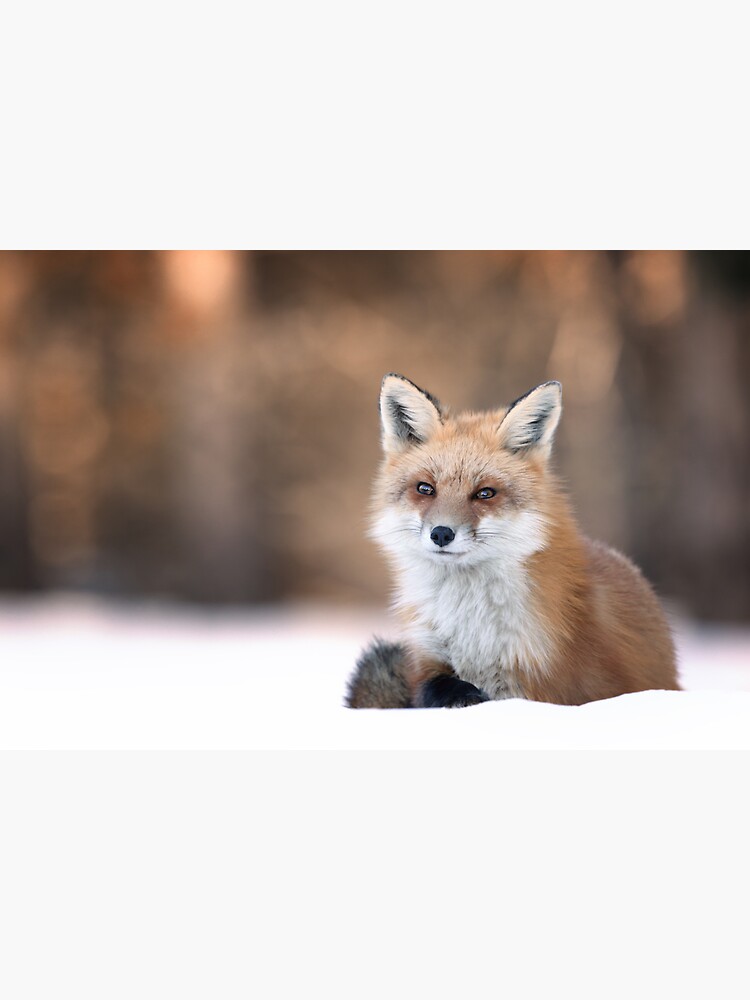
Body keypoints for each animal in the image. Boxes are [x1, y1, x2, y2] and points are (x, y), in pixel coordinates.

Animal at [345, 374, 679, 709]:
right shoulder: (427, 658)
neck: (472, 629)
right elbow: (435, 688)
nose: (441, 533)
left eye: (485, 493)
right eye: (425, 488)